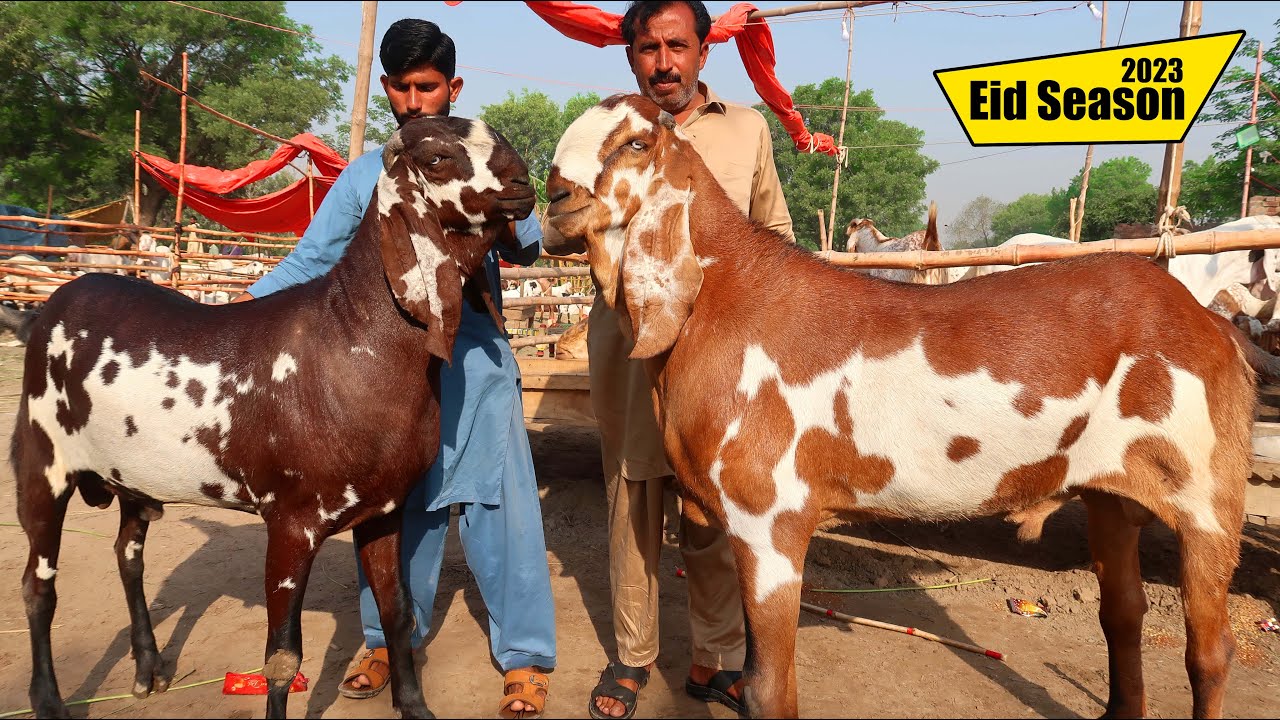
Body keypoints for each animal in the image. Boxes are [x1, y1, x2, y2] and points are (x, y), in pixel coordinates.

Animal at [11, 115, 534, 719]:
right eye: (437, 159)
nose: (523, 182)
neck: (352, 337)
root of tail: (43, 312)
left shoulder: (384, 509)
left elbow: (397, 612)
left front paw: (414, 707)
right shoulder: (290, 523)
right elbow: (282, 657)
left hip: (132, 481)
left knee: (128, 556)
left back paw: (147, 668)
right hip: (42, 467)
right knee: (38, 586)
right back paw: (49, 699)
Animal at [544, 94, 1266, 719]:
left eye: (636, 143)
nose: (554, 197)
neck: (718, 295)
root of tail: (1213, 326)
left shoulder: (769, 517)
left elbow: (767, 688)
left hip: (1206, 496)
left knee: (1209, 651)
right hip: (1112, 493)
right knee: (1122, 615)